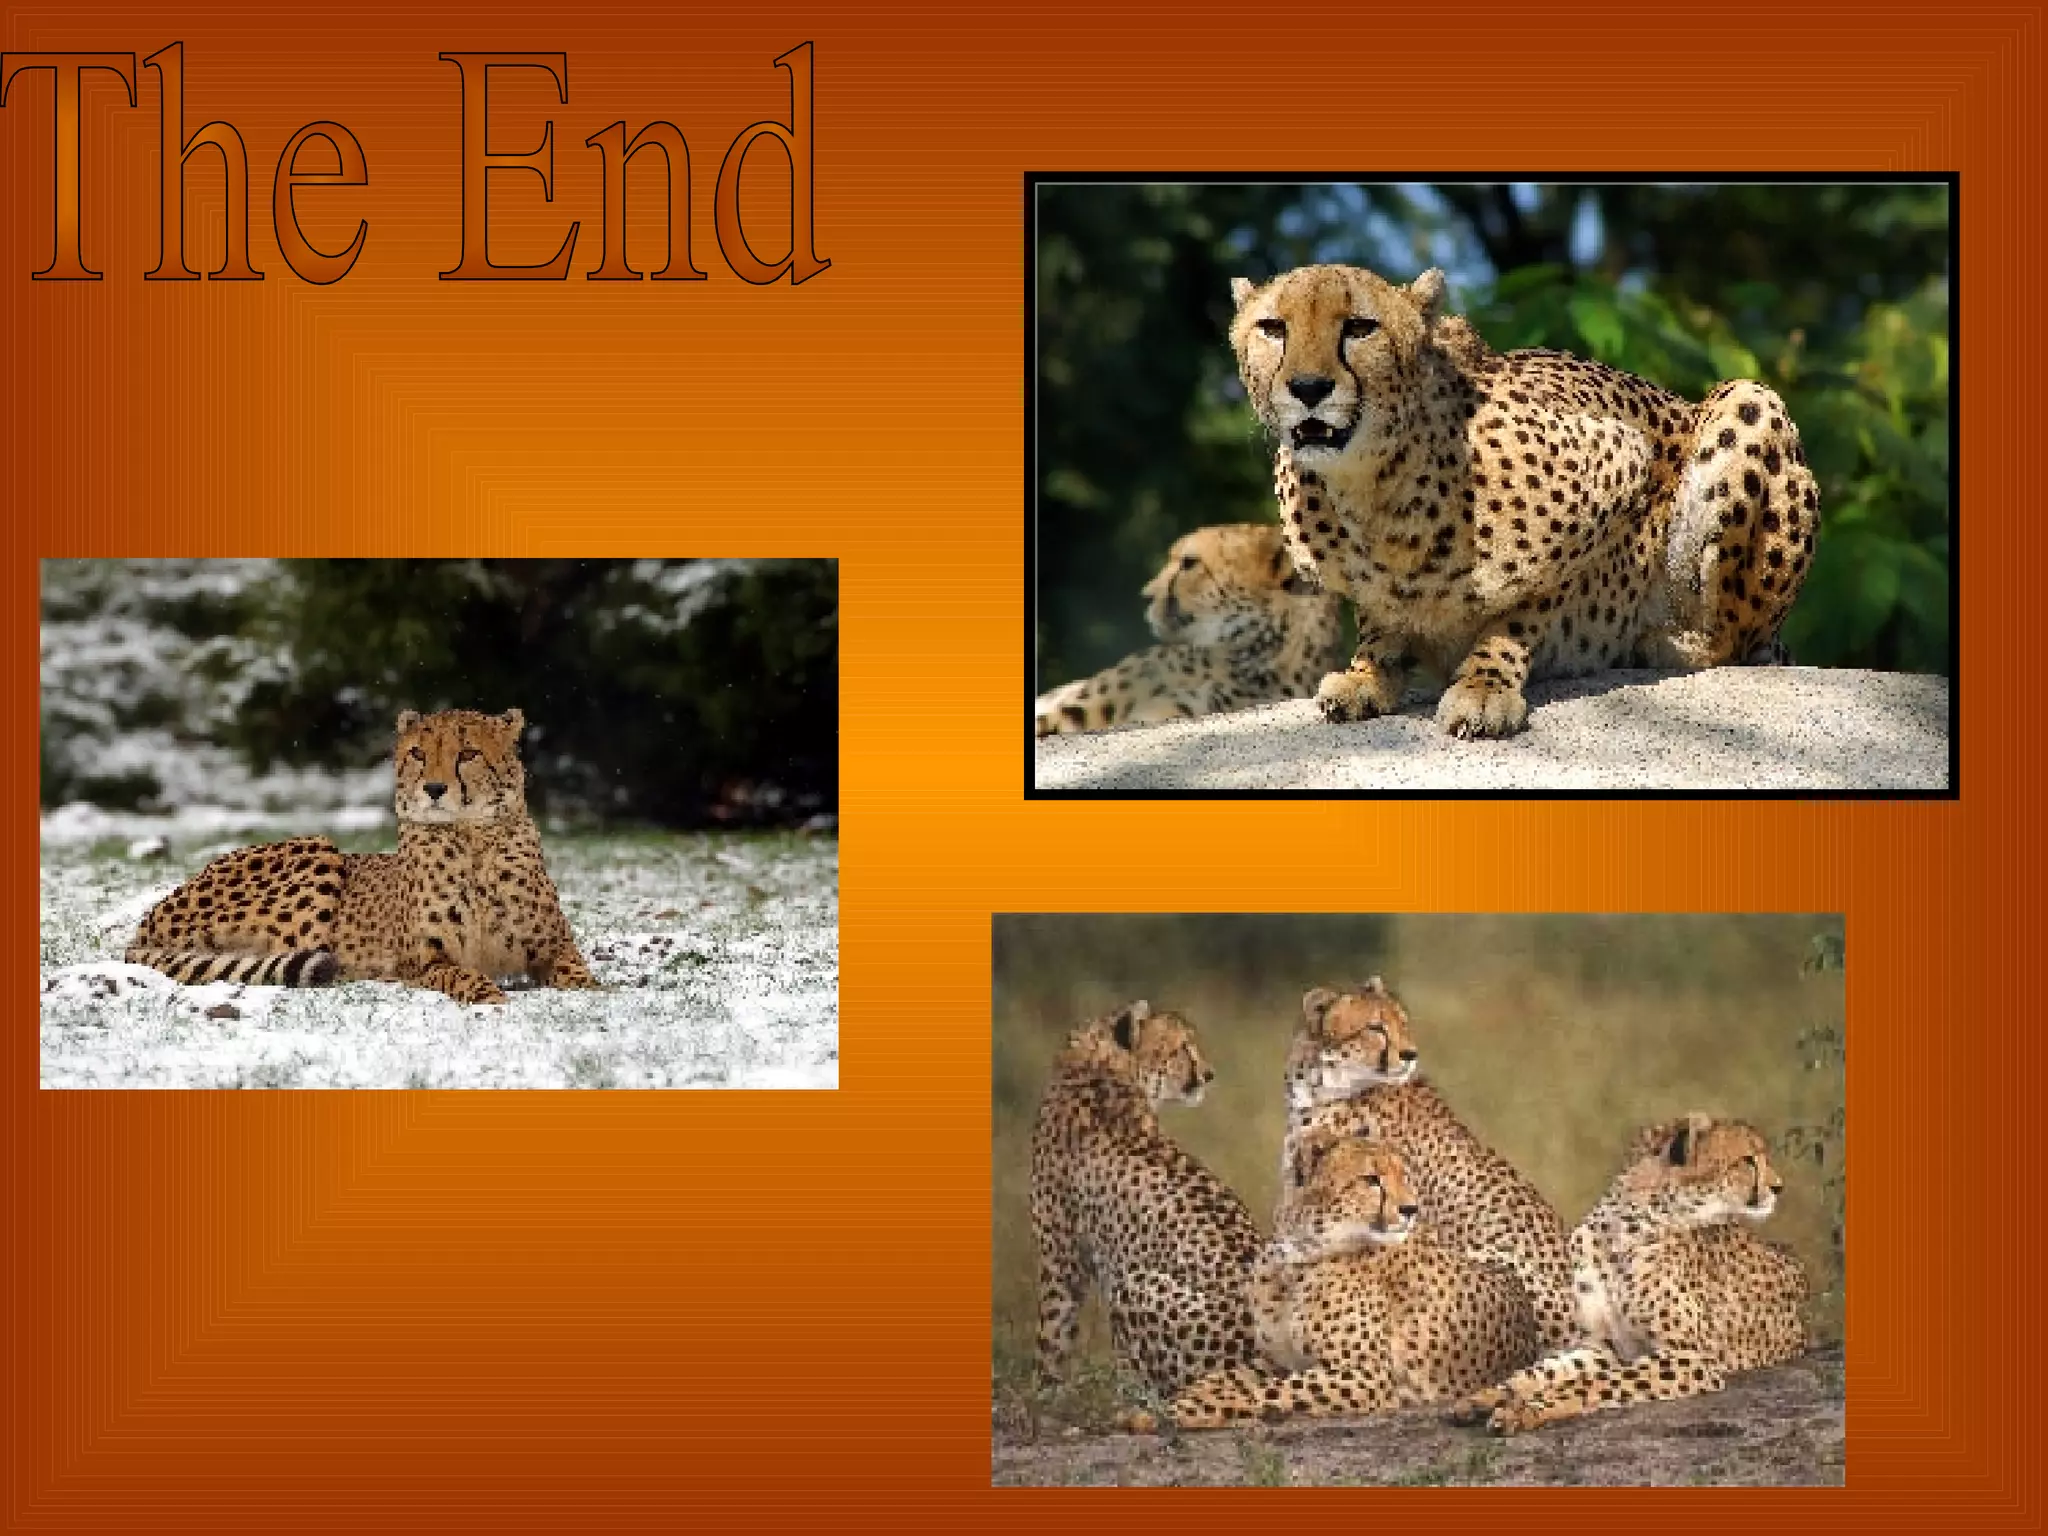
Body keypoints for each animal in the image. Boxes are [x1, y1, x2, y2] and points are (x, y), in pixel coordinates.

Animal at [126, 708, 600, 1006]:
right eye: (418, 753)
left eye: (468, 754)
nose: (434, 789)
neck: (471, 841)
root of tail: (147, 922)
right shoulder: (423, 959)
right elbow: (460, 973)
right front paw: (487, 994)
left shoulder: (554, 946)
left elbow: (577, 973)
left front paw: (595, 990)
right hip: (319, 849)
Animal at [1029, 999, 1264, 1397]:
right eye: (1182, 1047)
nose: (1209, 1075)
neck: (1103, 1069)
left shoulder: (1061, 1258)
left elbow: (1052, 1332)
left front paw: (1042, 1390)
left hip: (1134, 1286)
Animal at [1162, 1129, 1541, 1429]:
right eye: (1371, 1179)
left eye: (1404, 1176)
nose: (1411, 1209)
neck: (1297, 1260)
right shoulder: (1279, 1360)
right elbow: (1230, 1375)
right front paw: (1194, 1392)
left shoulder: (1366, 1375)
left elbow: (1276, 1389)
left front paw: (1198, 1406)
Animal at [1229, 263, 1821, 737]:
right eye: (1273, 328)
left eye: (1359, 328)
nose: (1309, 387)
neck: (1373, 483)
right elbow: (1381, 614)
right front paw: (1369, 673)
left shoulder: (1623, 465)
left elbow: (1524, 605)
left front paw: (1485, 685)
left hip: (1749, 401)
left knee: (1733, 642)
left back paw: (1664, 644)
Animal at [1450, 1113, 1810, 1435]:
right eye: (1747, 1160)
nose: (1779, 1187)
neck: (1619, 1232)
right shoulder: (1604, 1346)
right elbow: (1545, 1371)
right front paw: (1488, 1396)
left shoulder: (1690, 1356)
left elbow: (1595, 1382)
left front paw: (1524, 1410)